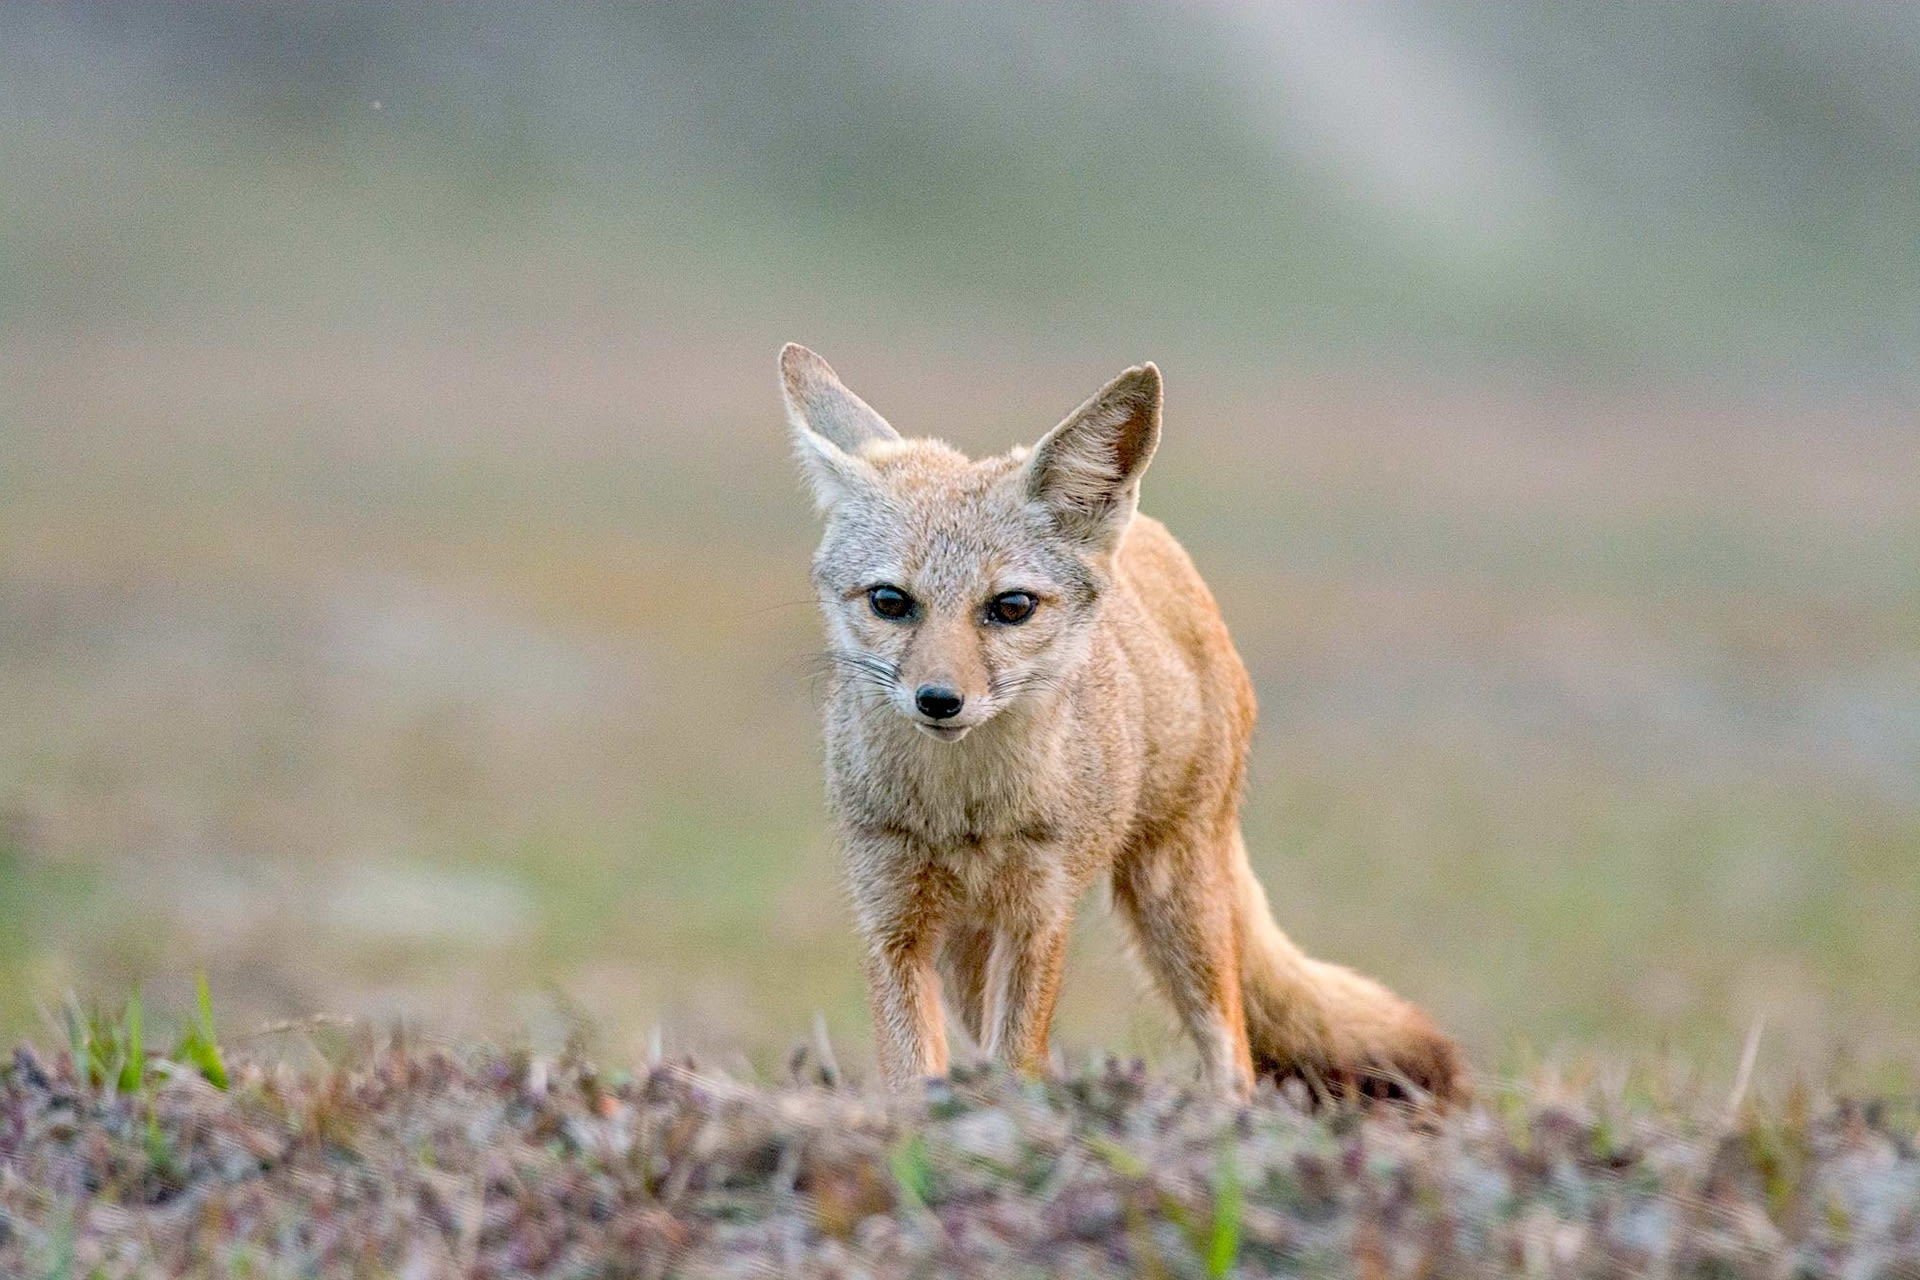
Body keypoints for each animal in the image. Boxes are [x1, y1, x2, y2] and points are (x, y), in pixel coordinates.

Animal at [781, 343, 1465, 1103]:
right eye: (890, 601)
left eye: (1011, 607)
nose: (938, 700)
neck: (965, 811)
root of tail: (1152, 538)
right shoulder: (894, 920)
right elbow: (913, 1074)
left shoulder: (1039, 920)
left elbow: (1016, 1058)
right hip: (968, 954)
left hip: (1175, 906)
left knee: (1234, 1048)